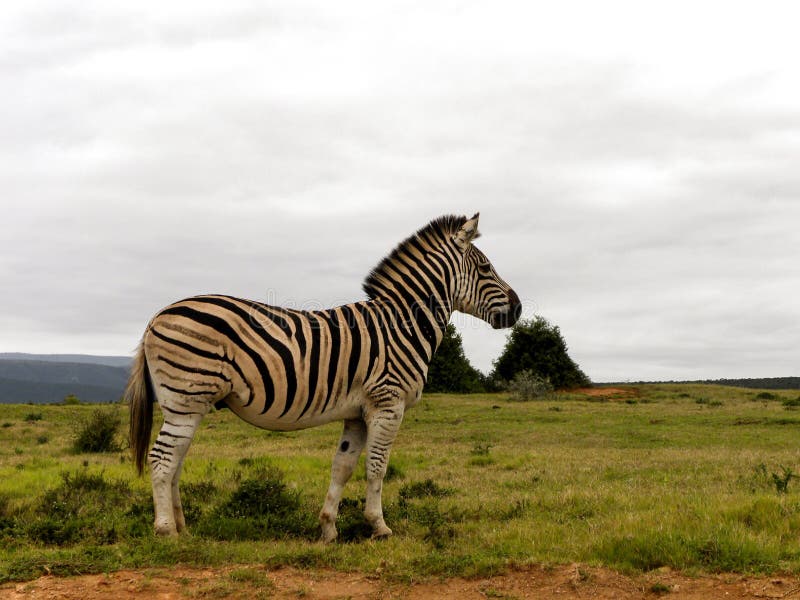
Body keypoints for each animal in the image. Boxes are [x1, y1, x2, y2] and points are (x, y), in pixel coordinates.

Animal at [126, 213, 521, 542]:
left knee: (175, 462)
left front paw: (329, 529)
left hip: (188, 403)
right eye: (486, 267)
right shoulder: (387, 403)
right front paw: (379, 527)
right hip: (186, 397)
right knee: (161, 460)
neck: (401, 324)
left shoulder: (357, 413)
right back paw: (166, 531)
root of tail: (158, 315)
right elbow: (377, 467)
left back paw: (183, 527)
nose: (518, 309)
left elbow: (342, 468)